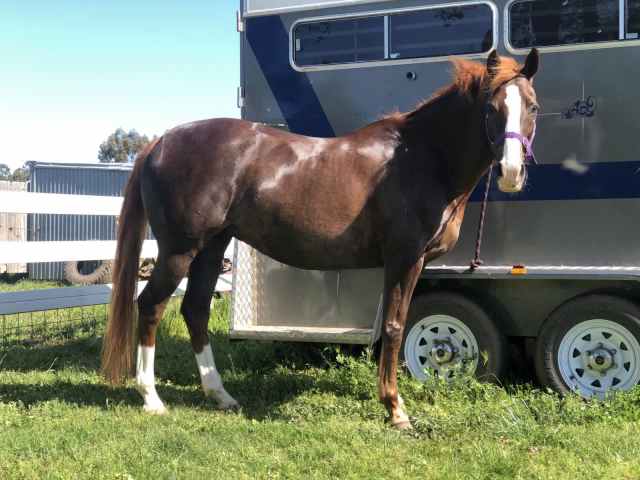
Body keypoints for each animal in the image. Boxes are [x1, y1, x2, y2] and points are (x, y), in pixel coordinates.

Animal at [102, 49, 540, 429]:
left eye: (532, 106)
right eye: (491, 108)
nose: (511, 173)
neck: (422, 157)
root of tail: (160, 142)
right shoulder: (404, 258)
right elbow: (395, 327)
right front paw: (395, 409)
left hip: (212, 247)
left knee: (195, 309)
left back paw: (220, 394)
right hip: (179, 250)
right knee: (151, 305)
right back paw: (151, 397)